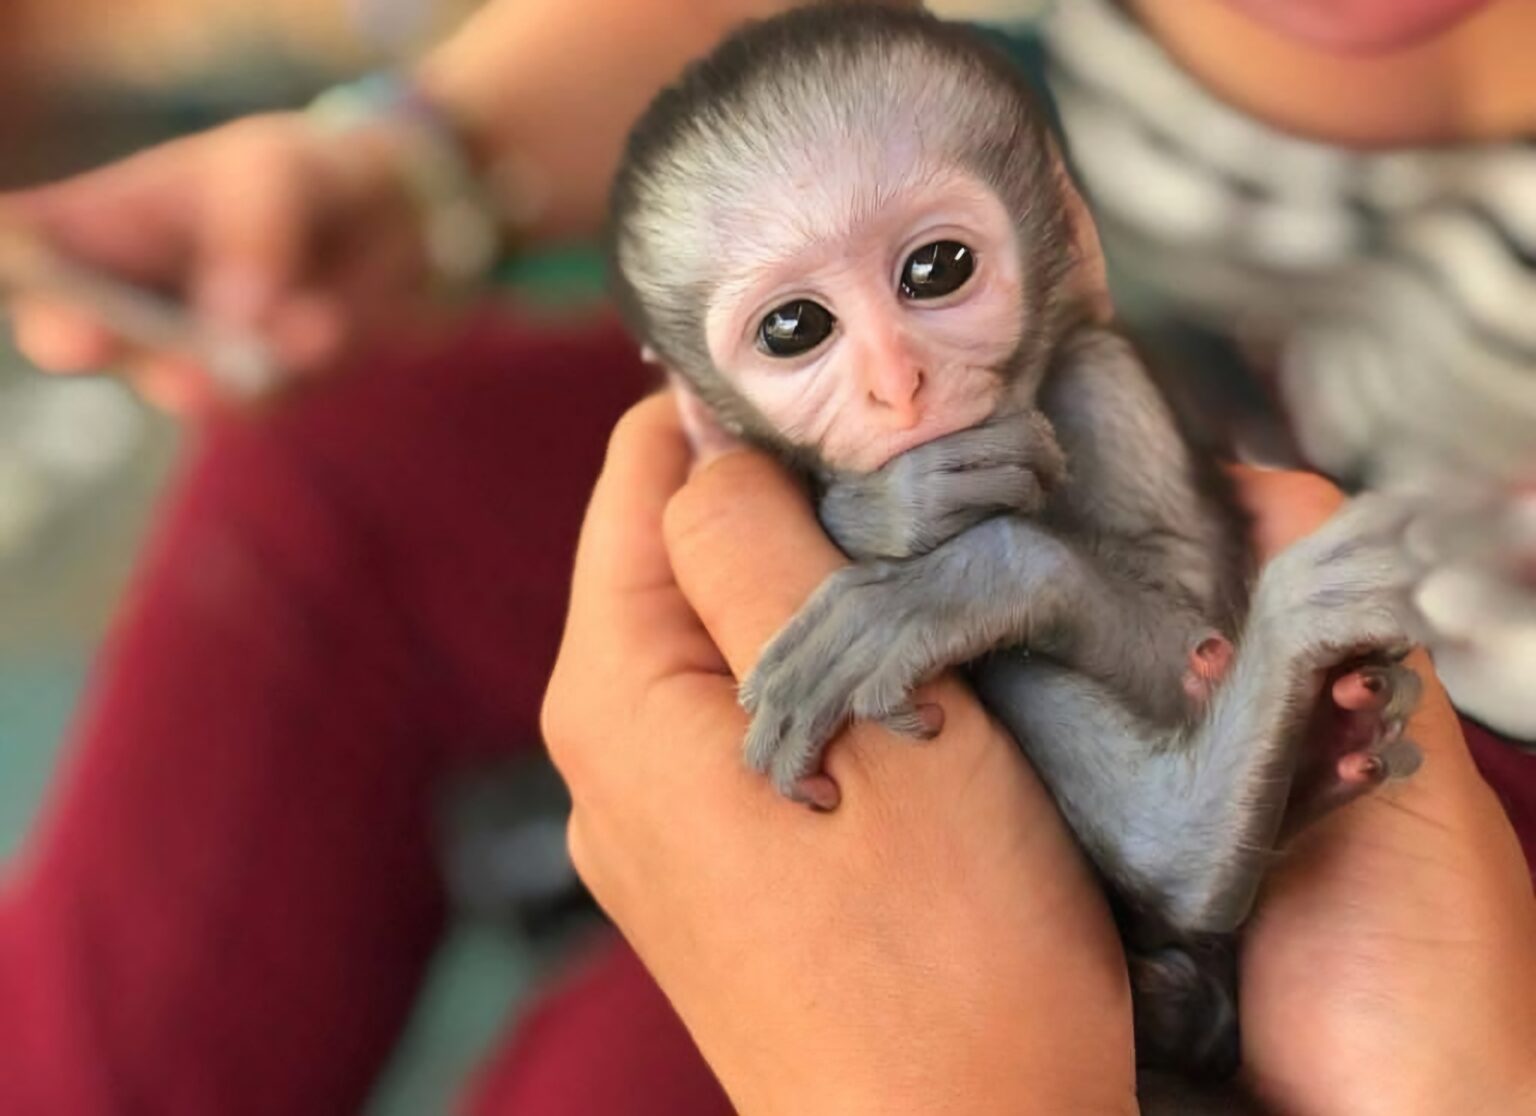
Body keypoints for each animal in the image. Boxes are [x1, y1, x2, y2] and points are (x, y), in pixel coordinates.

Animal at [604, 4, 1424, 1108]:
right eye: (793, 328)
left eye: (937, 269)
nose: (897, 384)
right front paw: (891, 505)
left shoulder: (1102, 379)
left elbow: (1193, 640)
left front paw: (944, 573)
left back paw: (1192, 831)